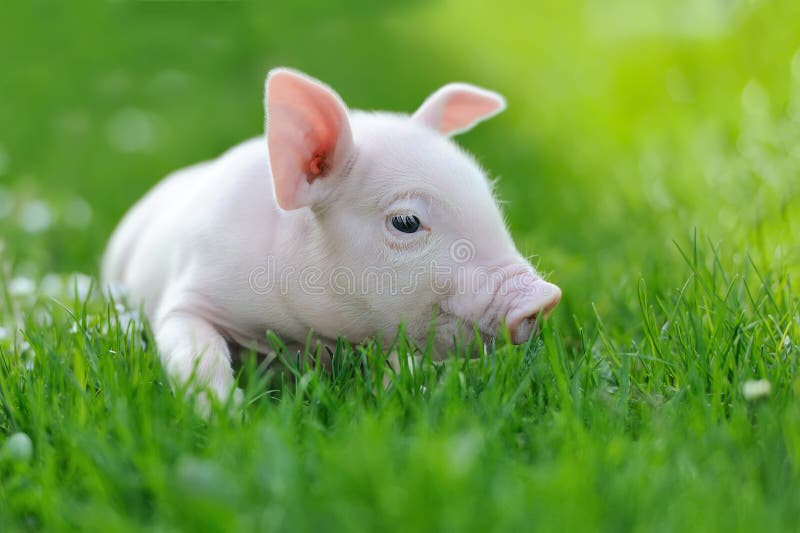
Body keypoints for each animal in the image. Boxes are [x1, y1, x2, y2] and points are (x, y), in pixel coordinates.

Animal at [102, 68, 562, 400]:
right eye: (406, 222)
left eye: (489, 199)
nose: (545, 297)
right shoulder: (189, 293)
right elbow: (196, 355)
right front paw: (228, 417)